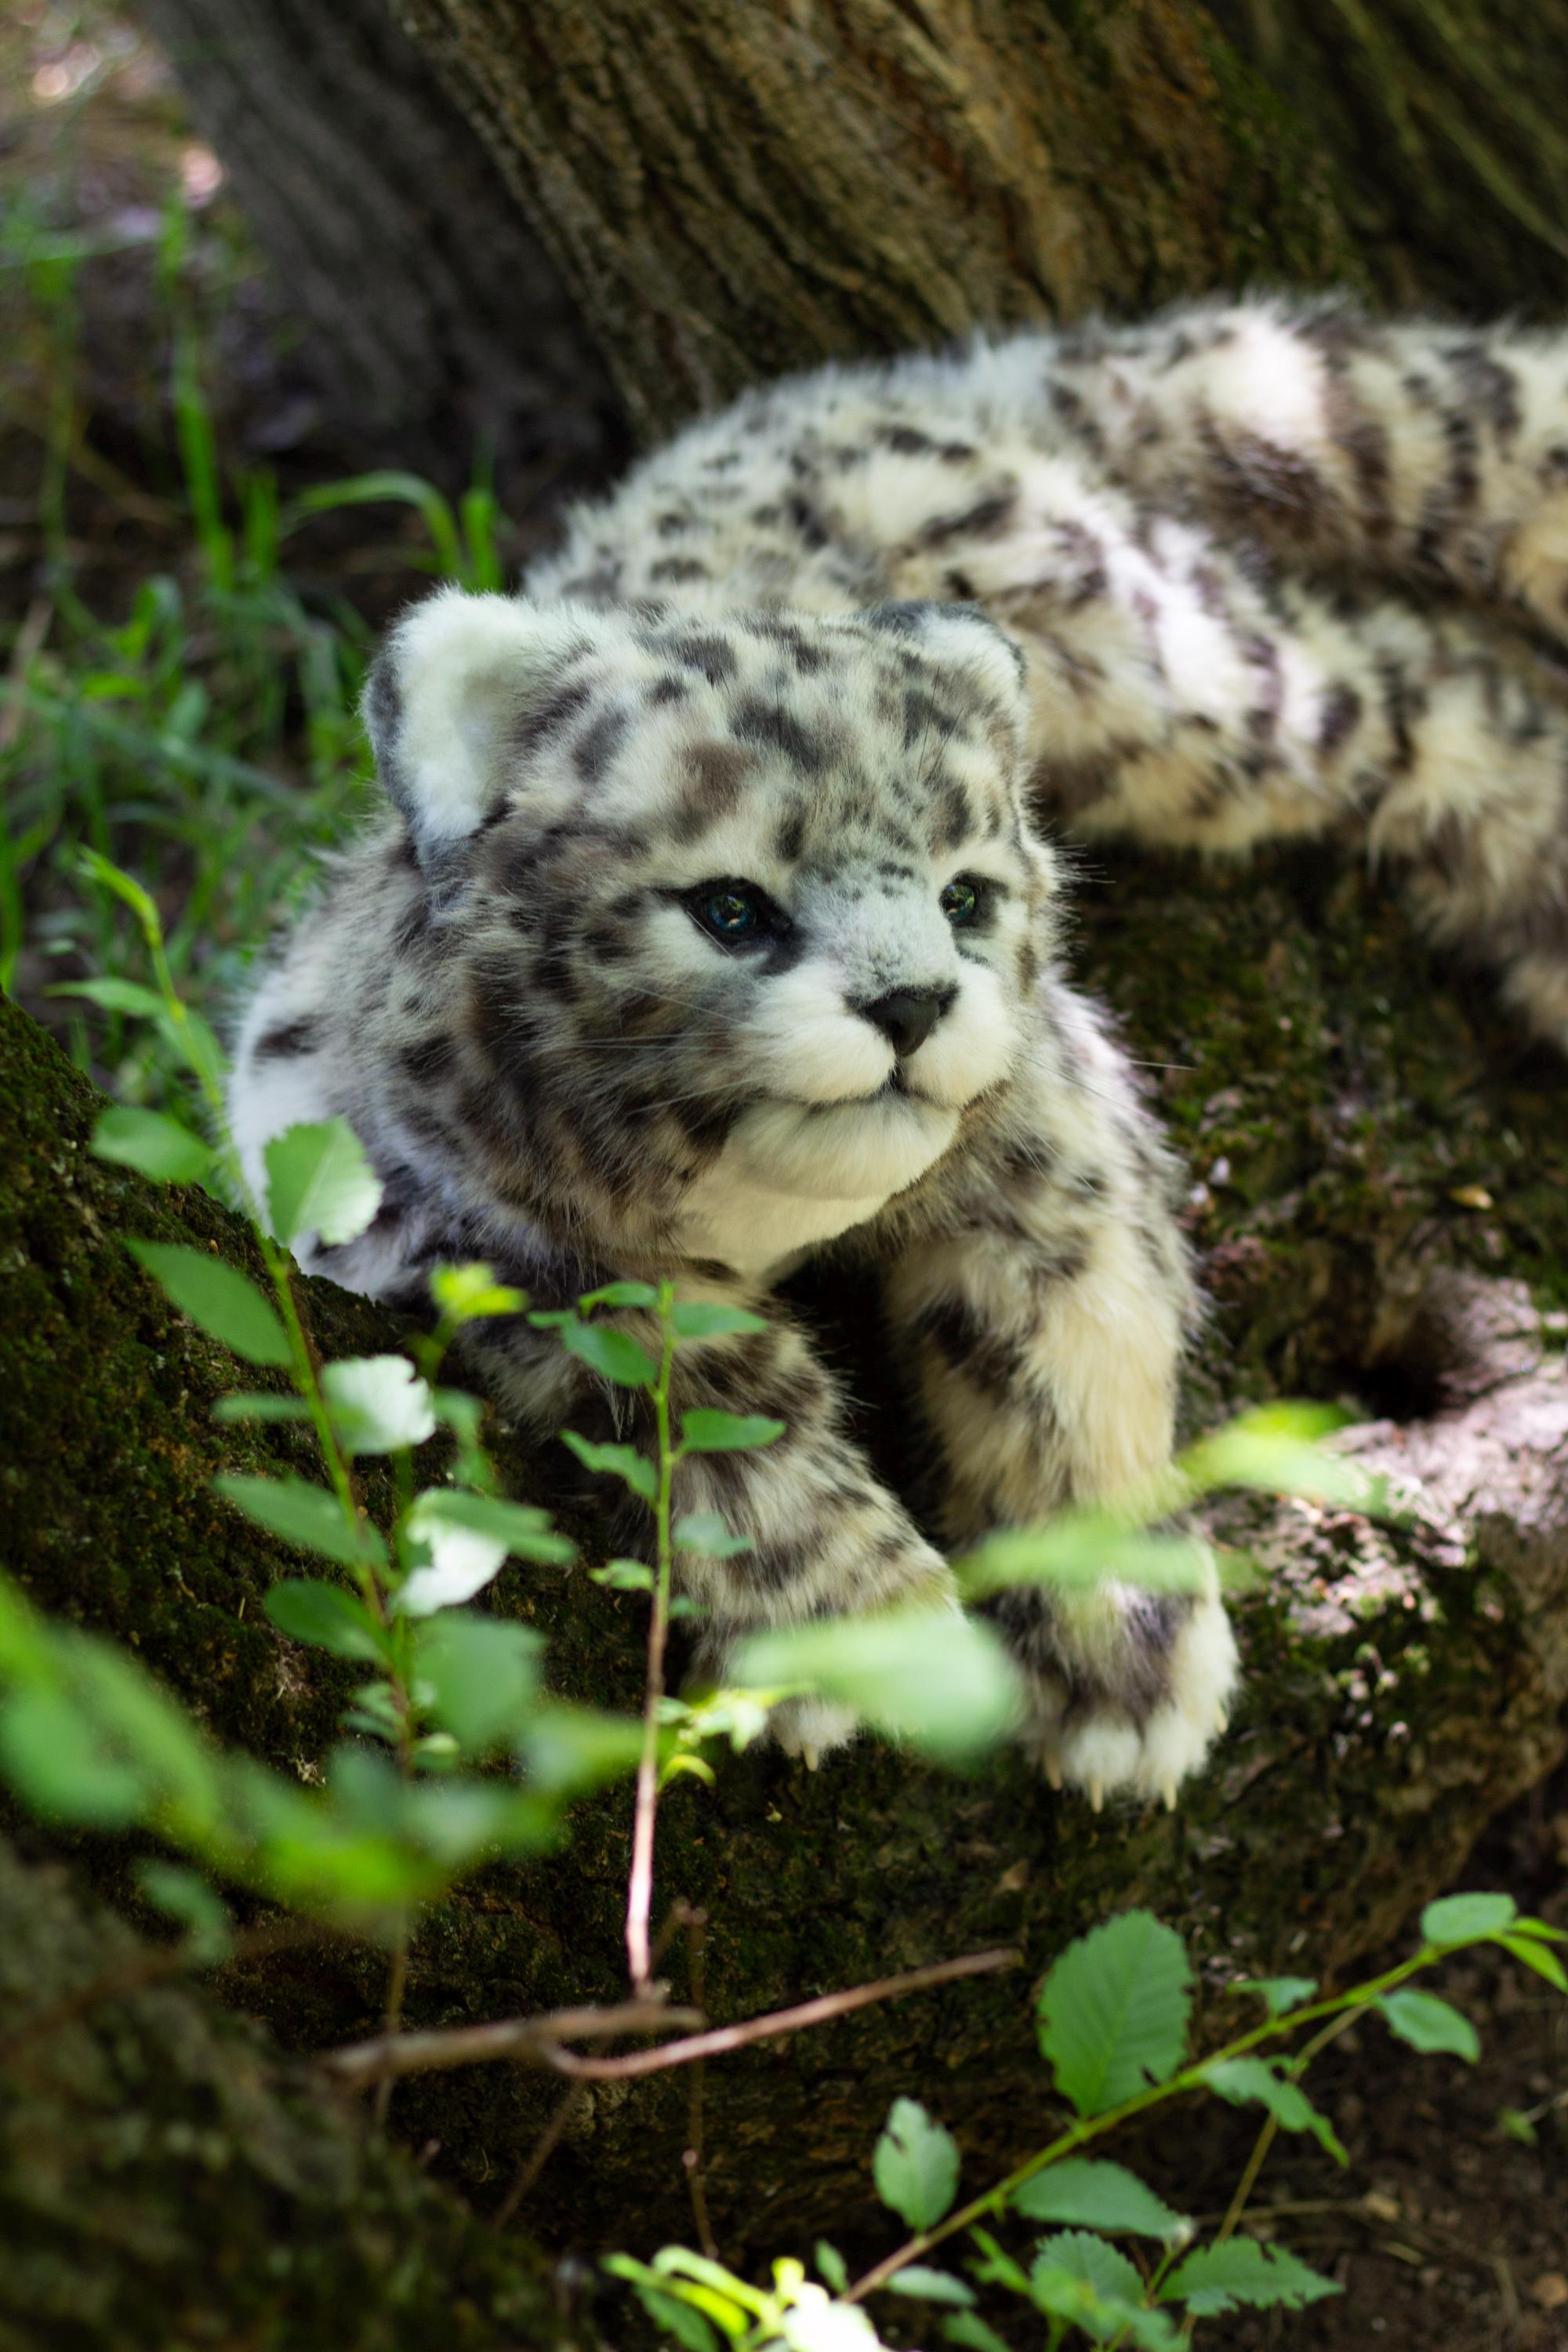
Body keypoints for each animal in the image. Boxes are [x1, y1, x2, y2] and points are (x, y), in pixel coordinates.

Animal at [230, 296, 1568, 1810]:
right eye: (730, 908)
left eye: (966, 896)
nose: (918, 1002)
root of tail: (915, 385)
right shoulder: (413, 1212)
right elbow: (697, 1369)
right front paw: (858, 1627)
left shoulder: (1054, 1138)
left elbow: (1071, 1346)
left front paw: (1125, 1659)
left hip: (1216, 696)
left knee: (1446, 697)